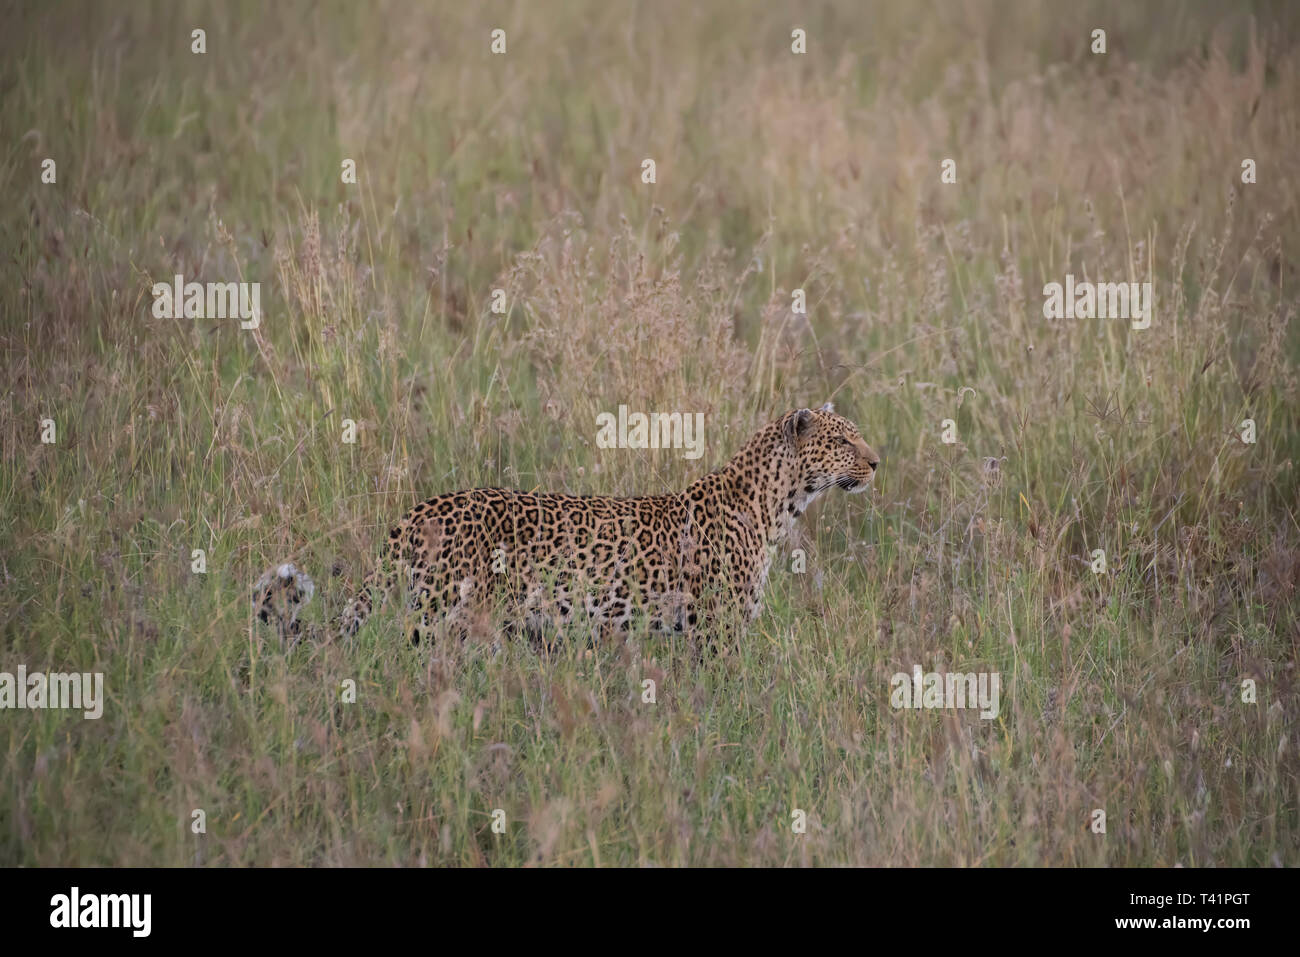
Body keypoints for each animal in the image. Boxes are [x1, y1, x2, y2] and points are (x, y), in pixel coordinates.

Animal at [255, 403, 878, 648]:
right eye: (845, 441)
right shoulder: (717, 629)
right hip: (443, 617)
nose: (877, 461)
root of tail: (420, 510)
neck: (779, 504)